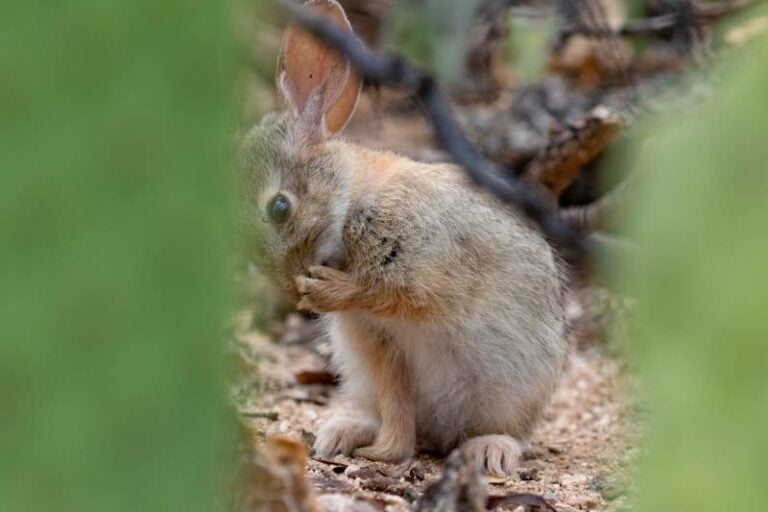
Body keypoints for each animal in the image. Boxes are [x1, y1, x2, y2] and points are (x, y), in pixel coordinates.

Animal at [238, 0, 568, 476]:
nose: (290, 290)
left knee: (507, 430)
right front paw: (384, 451)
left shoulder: (425, 272)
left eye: (279, 208)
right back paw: (343, 433)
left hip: (511, 387)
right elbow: (395, 398)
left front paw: (326, 289)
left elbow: (397, 295)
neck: (351, 201)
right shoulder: (379, 340)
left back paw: (489, 451)